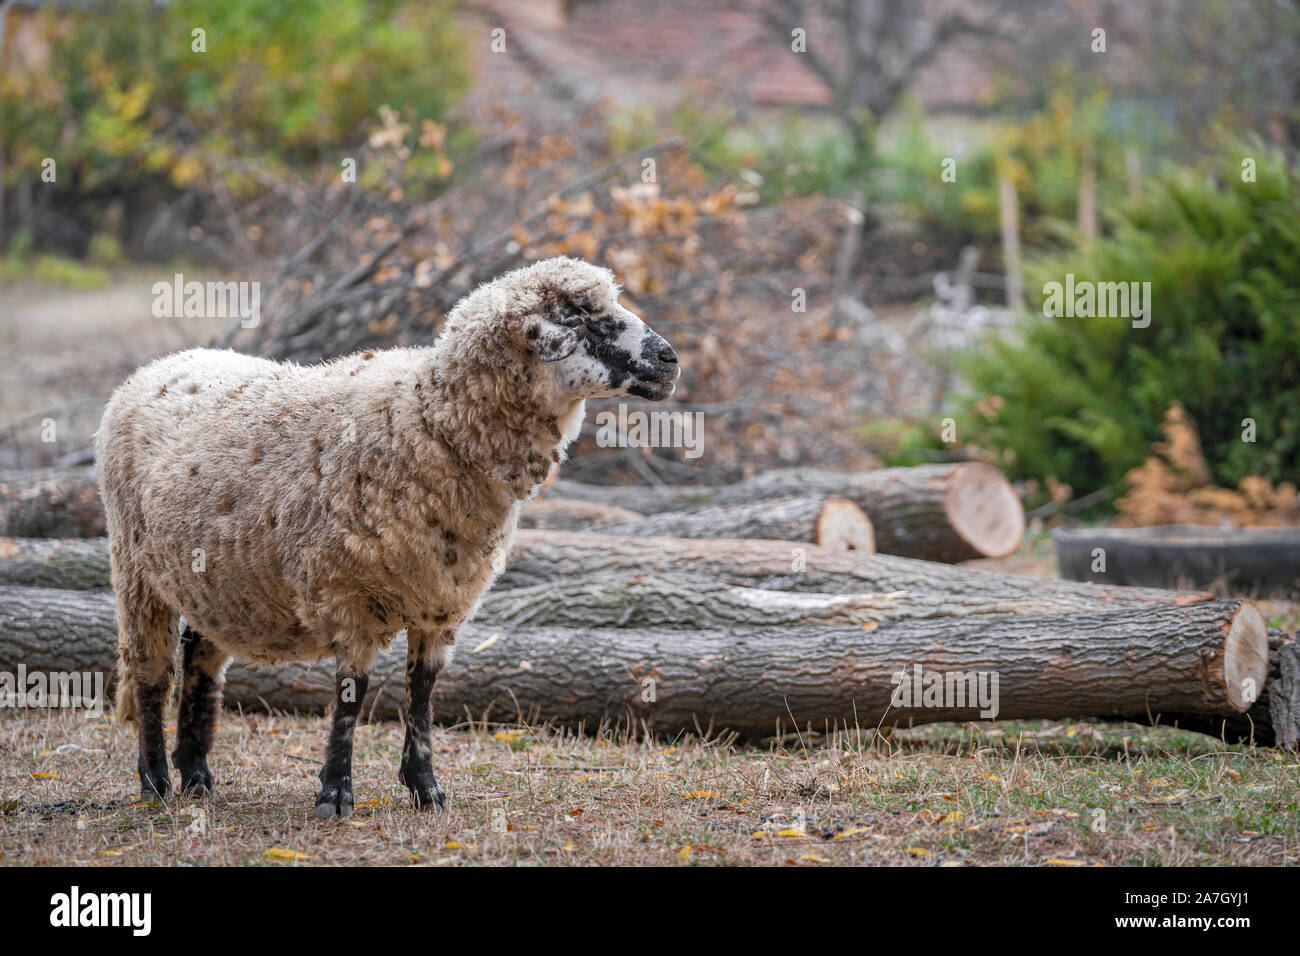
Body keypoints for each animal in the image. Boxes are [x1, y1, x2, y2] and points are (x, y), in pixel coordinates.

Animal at [95, 256, 680, 817]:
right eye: (580, 317)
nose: (670, 360)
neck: (427, 420)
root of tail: (157, 367)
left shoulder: (444, 599)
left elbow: (422, 692)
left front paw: (426, 789)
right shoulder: (347, 593)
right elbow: (352, 695)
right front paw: (335, 794)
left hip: (219, 581)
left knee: (199, 659)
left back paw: (196, 774)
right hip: (134, 566)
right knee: (149, 673)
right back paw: (155, 781)